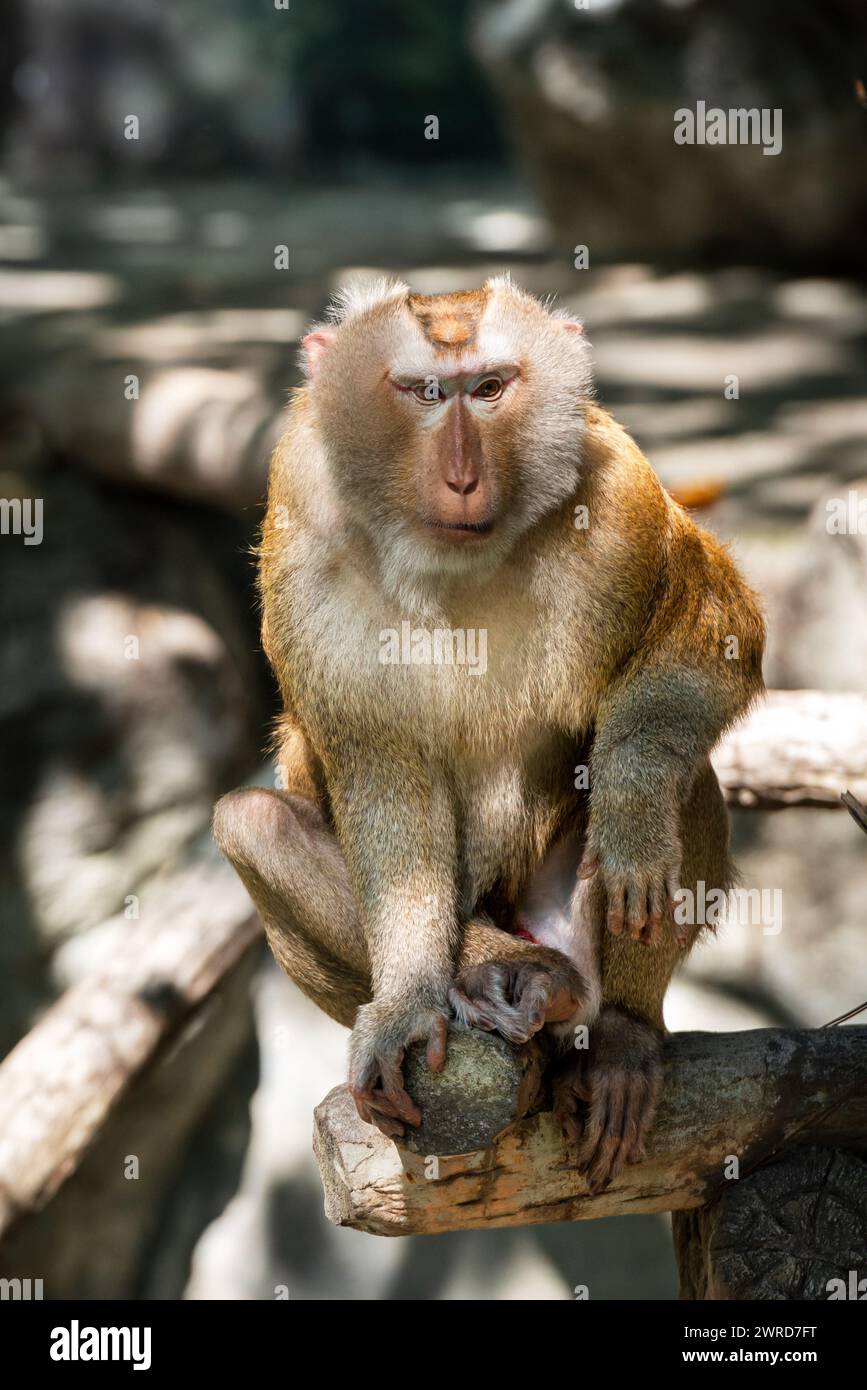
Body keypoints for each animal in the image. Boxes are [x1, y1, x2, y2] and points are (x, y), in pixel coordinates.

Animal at [214, 275, 765, 1193]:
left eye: (489, 387)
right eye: (424, 393)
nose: (463, 475)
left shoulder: (619, 490)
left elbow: (710, 630)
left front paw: (631, 810)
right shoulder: (302, 530)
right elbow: (378, 771)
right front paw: (405, 1006)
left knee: (678, 773)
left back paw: (617, 1025)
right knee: (250, 823)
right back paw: (505, 976)